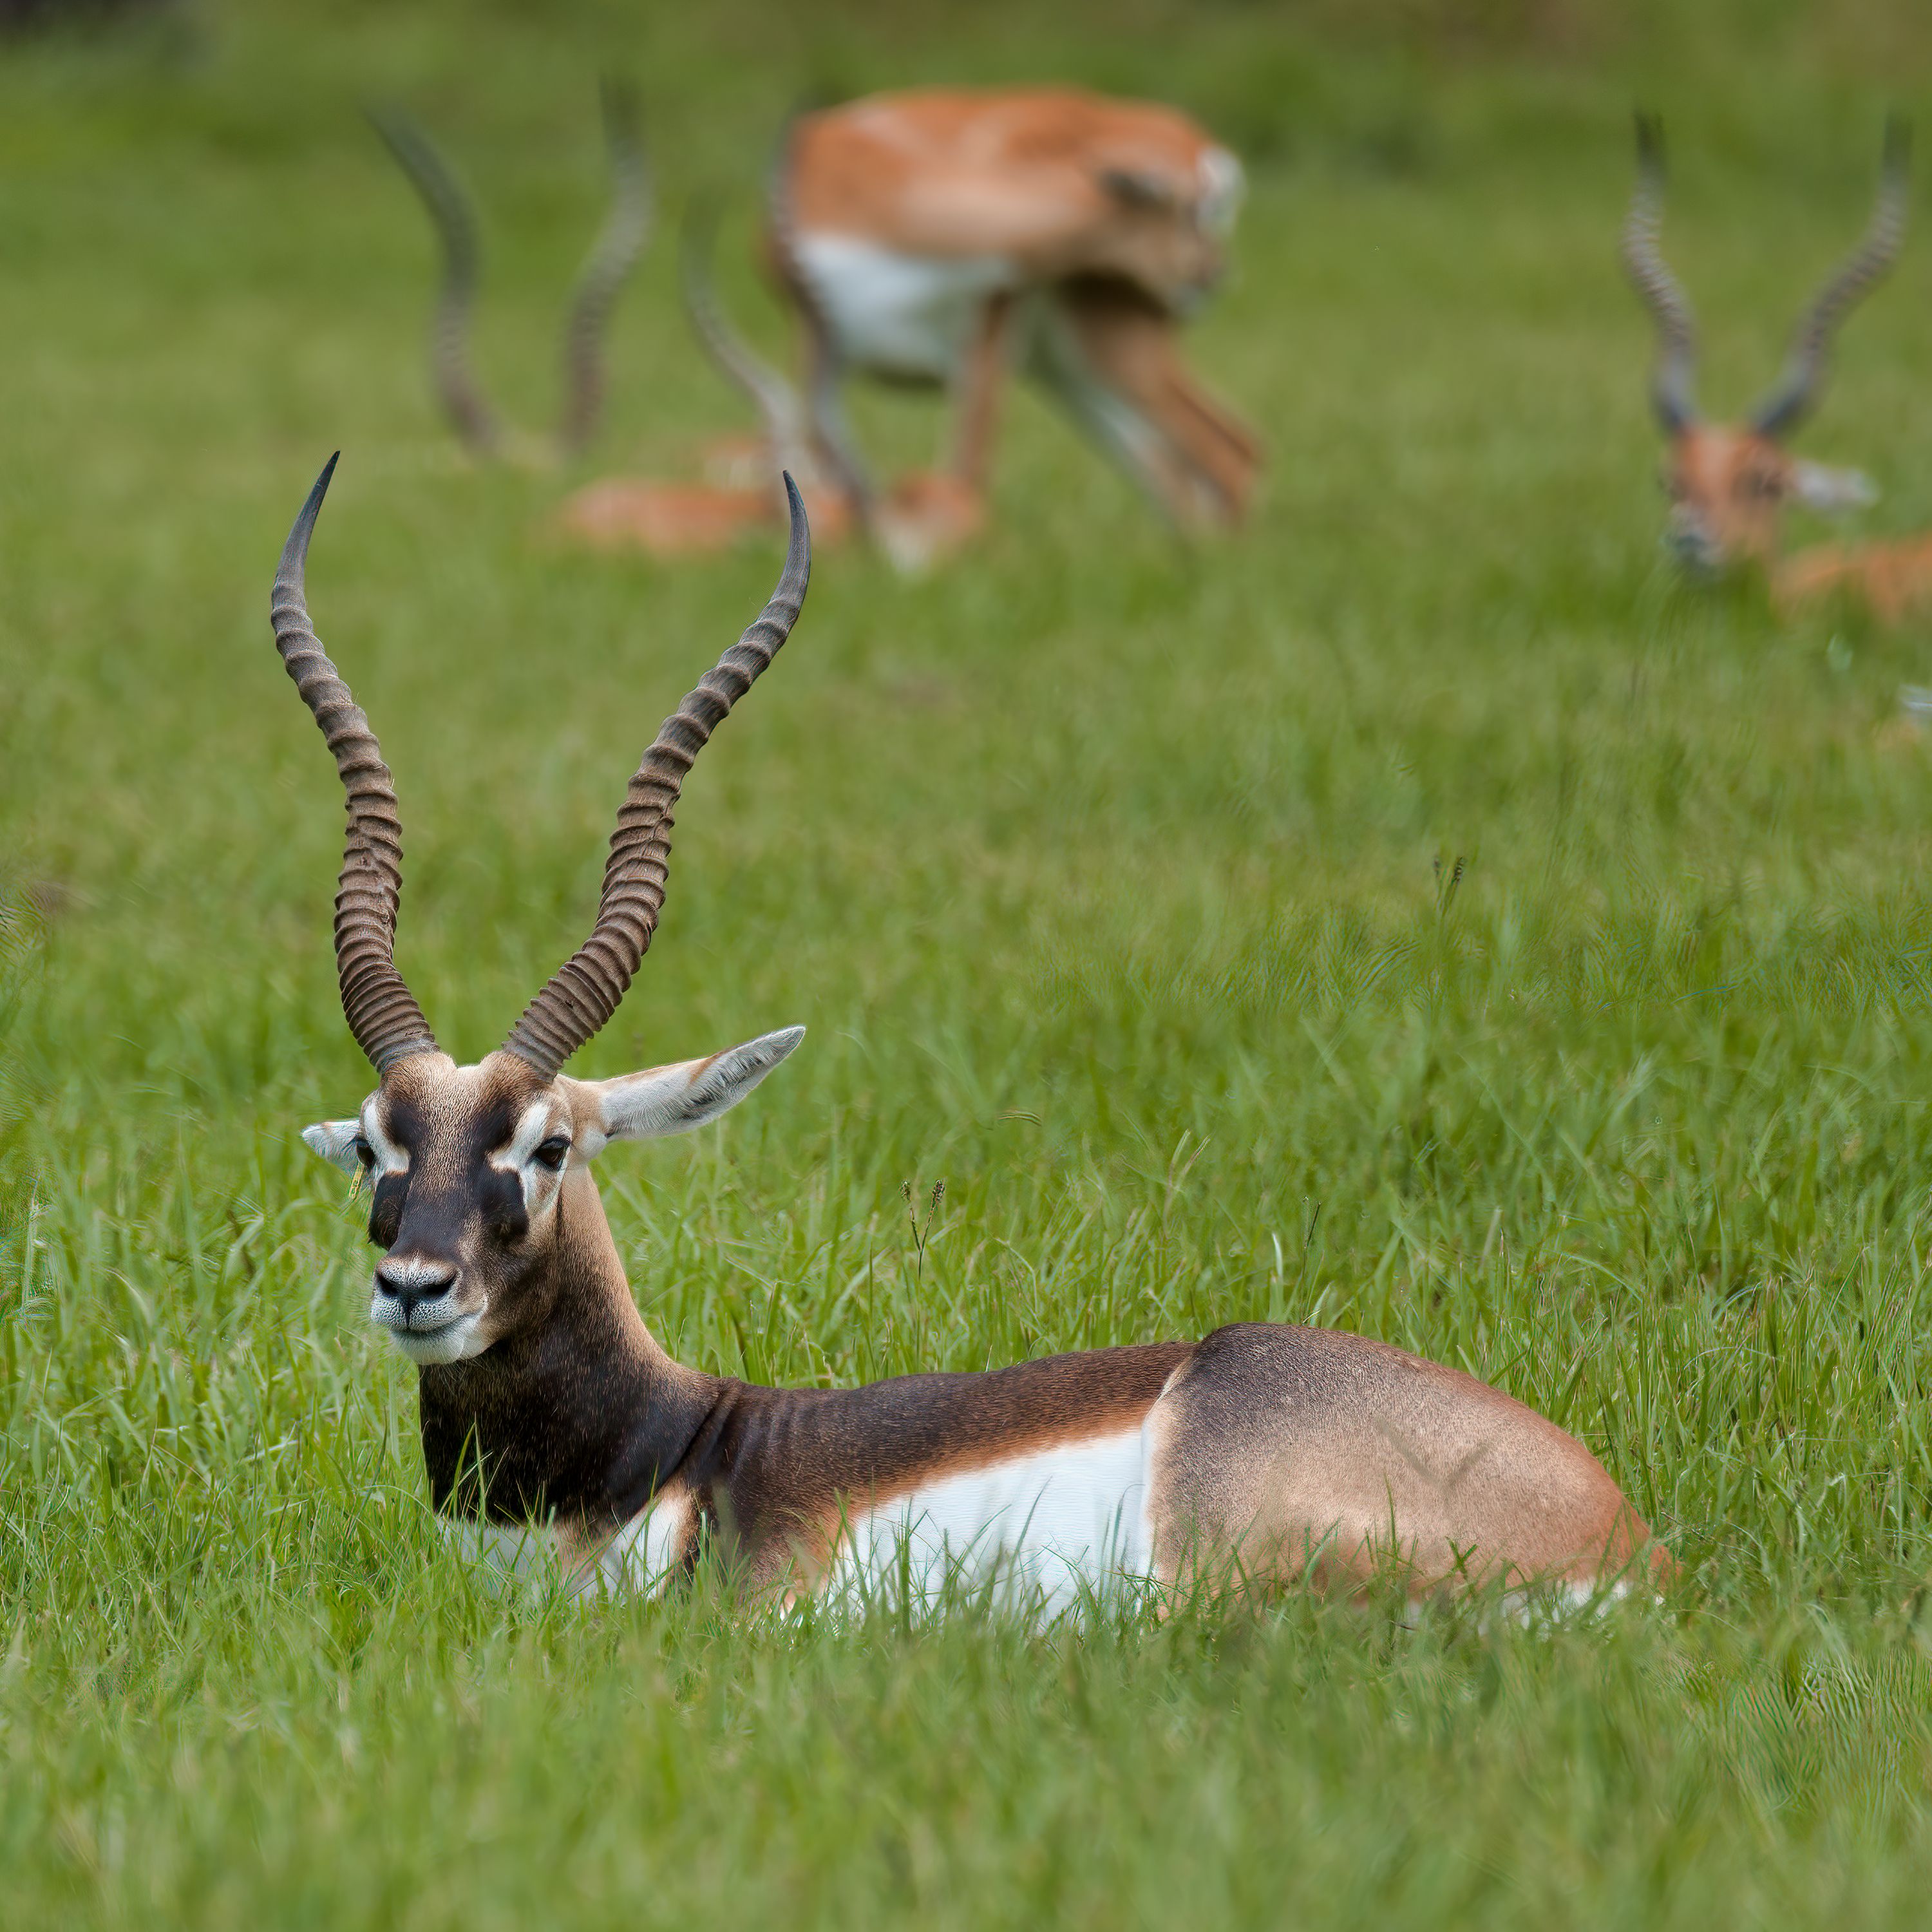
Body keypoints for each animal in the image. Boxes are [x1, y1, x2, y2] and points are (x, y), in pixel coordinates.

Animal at [558, 88, 1264, 571]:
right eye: (1179, 209)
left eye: (1201, 211)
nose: (1211, 276)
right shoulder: (812, 335)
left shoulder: (990, 313)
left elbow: (960, 473)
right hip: (1073, 362)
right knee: (1193, 468)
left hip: (1099, 346)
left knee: (1224, 454)